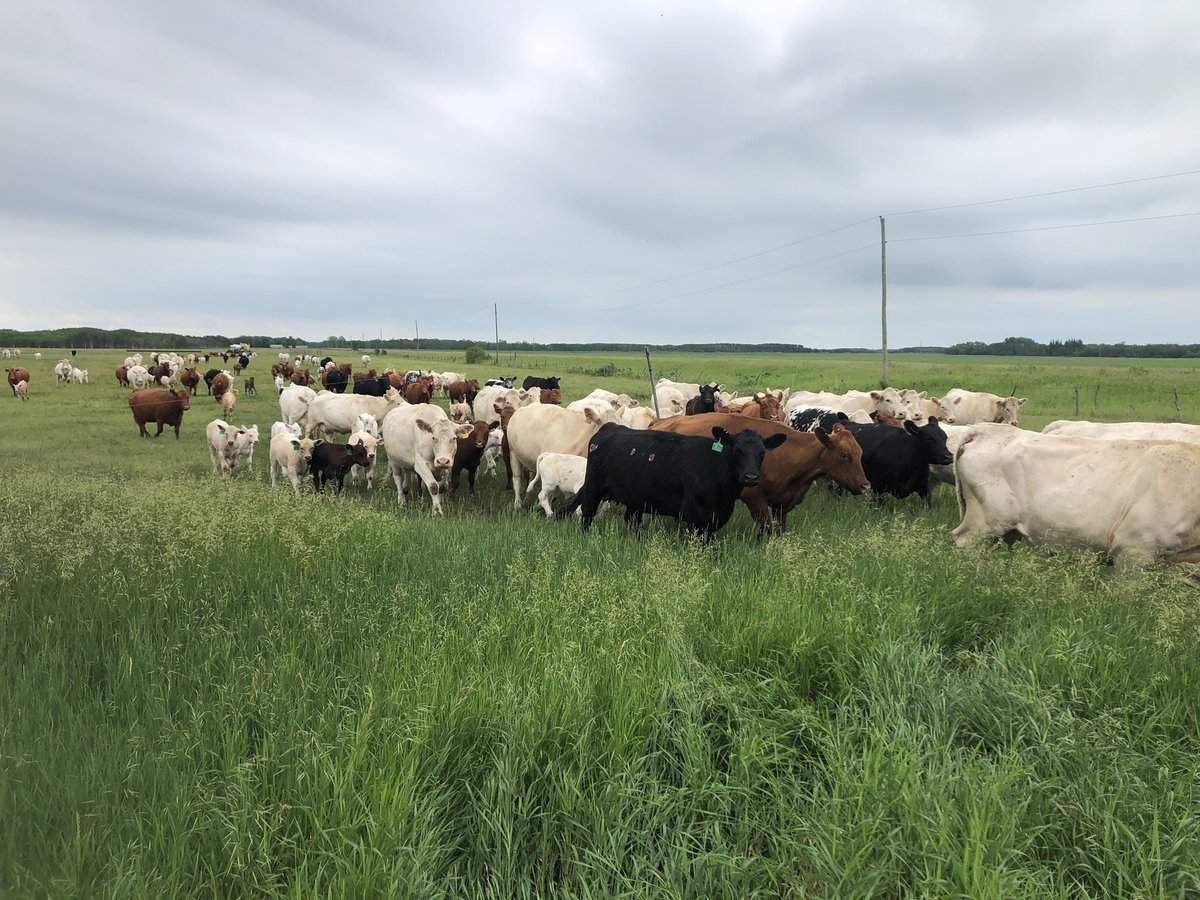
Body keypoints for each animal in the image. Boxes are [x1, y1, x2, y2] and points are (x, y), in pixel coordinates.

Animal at [559, 423, 787, 539]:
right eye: (737, 451)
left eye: (762, 453)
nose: (751, 477)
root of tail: (611, 426)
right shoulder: (694, 516)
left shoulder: (716, 518)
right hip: (594, 487)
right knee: (587, 514)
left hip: (635, 497)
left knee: (631, 519)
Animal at [650, 413, 871, 532]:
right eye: (843, 454)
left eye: (860, 452)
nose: (865, 485)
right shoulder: (755, 499)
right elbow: (765, 530)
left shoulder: (782, 505)